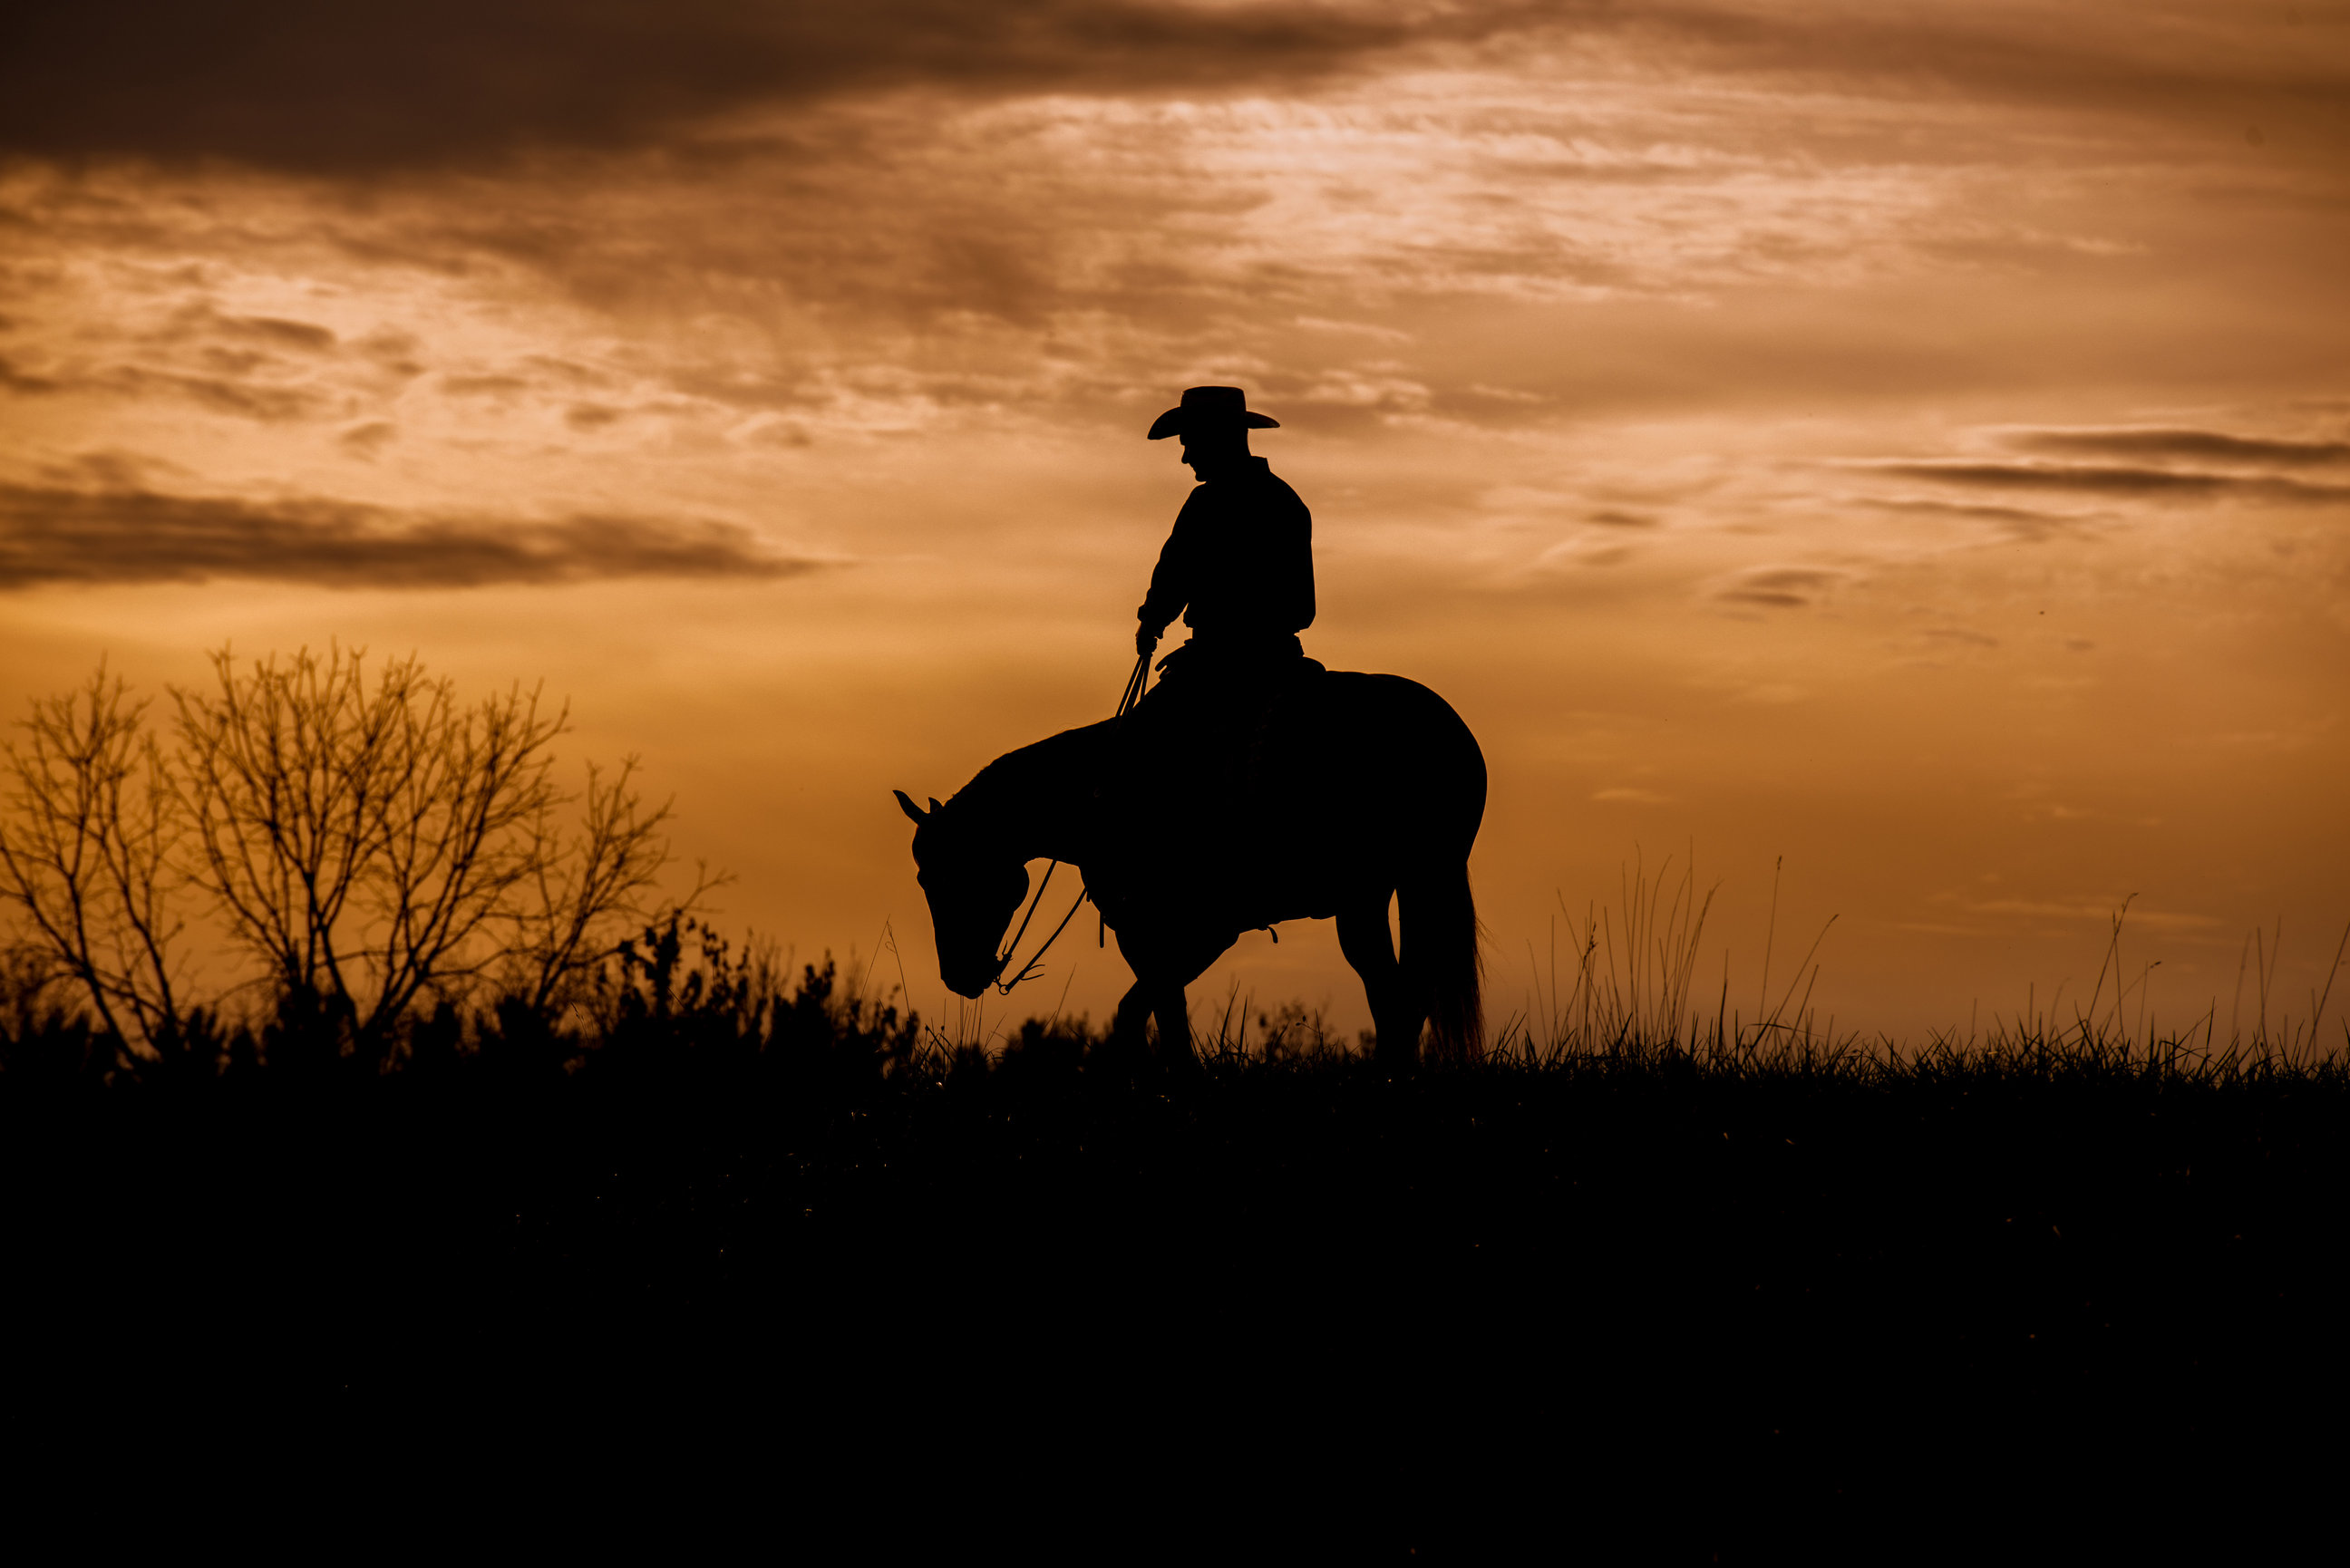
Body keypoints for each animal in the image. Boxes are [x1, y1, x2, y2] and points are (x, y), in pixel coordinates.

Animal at [894, 668, 1486, 1068]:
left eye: (952, 876)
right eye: (924, 880)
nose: (959, 975)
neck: (1099, 793)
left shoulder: (1196, 929)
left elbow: (1152, 1008)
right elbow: (1150, 1008)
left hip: (1380, 892)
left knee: (1398, 992)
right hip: (1397, 889)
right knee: (1403, 991)